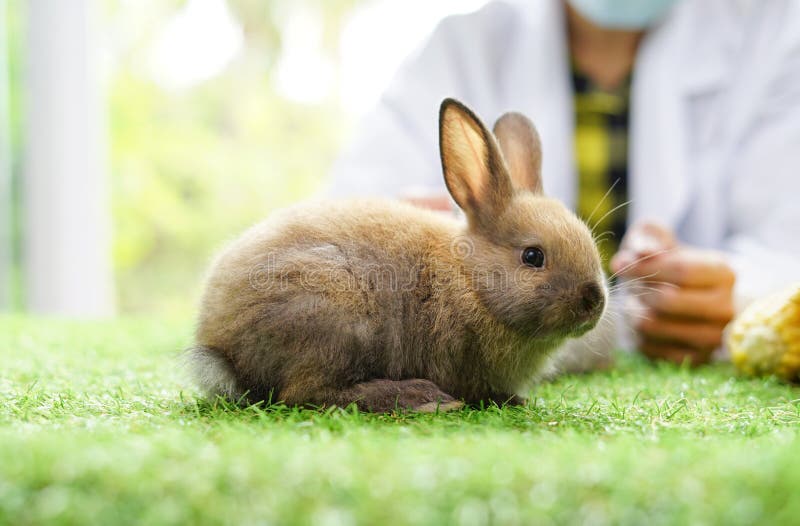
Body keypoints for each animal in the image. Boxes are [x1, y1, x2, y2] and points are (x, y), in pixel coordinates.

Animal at [189, 98, 608, 412]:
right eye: (533, 256)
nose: (594, 300)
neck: (471, 280)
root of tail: (221, 347)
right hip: (334, 321)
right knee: (305, 393)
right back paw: (420, 398)